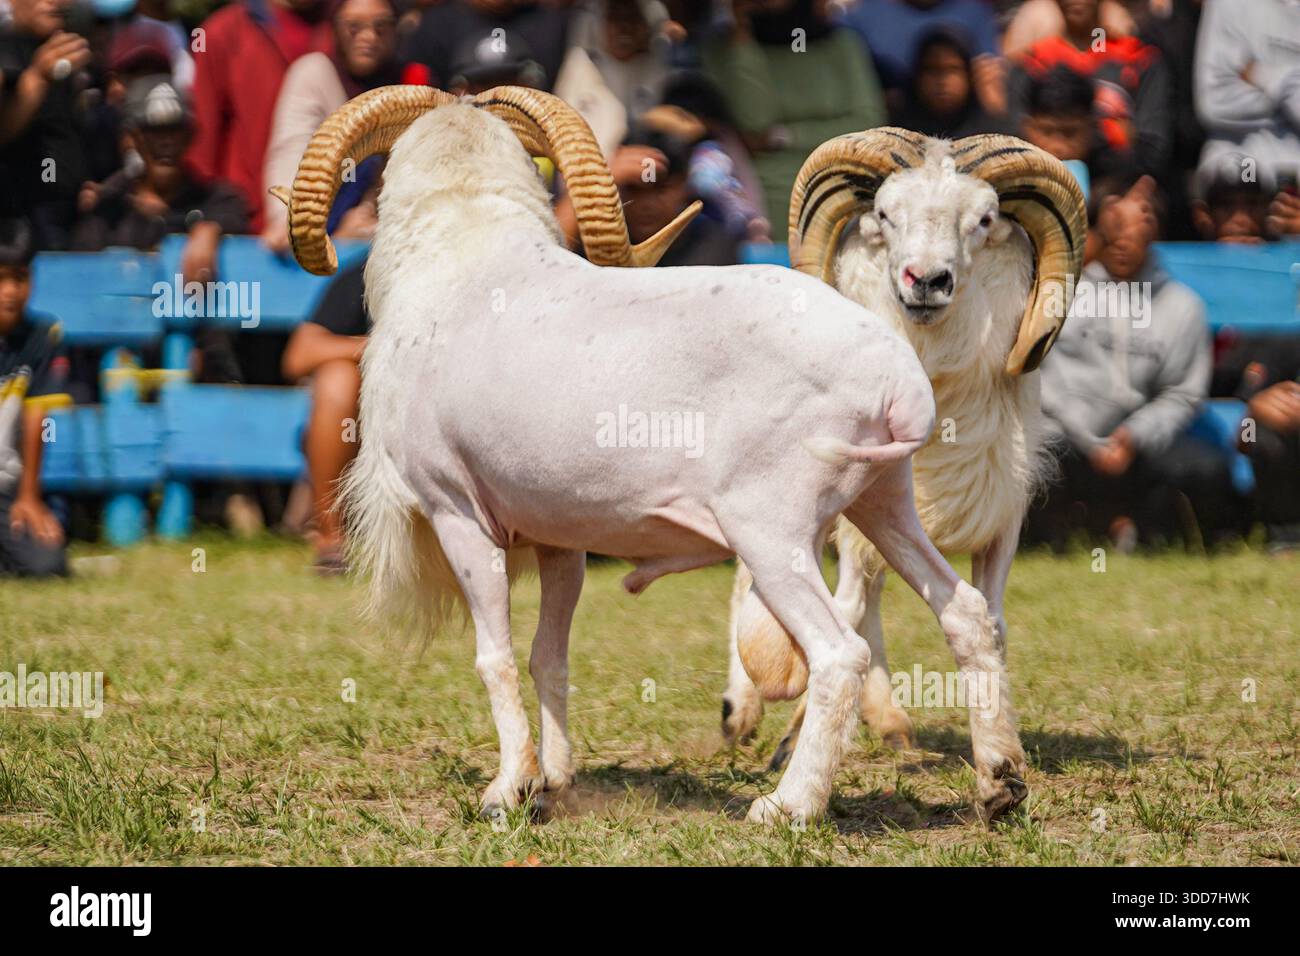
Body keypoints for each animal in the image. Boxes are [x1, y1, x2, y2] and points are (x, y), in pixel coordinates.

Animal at [274, 87, 1004, 824]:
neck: (461, 259)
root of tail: (897, 377)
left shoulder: (458, 513)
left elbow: (496, 657)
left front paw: (508, 791)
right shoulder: (559, 539)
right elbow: (547, 657)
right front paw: (555, 782)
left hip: (773, 533)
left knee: (839, 653)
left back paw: (787, 807)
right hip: (886, 504)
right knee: (967, 613)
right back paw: (1002, 782)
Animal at [720, 129, 1086, 822]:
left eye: (985, 219)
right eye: (885, 215)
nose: (927, 279)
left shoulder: (999, 517)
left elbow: (987, 621)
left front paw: (999, 763)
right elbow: (839, 607)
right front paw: (794, 741)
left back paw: (886, 721)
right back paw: (742, 711)